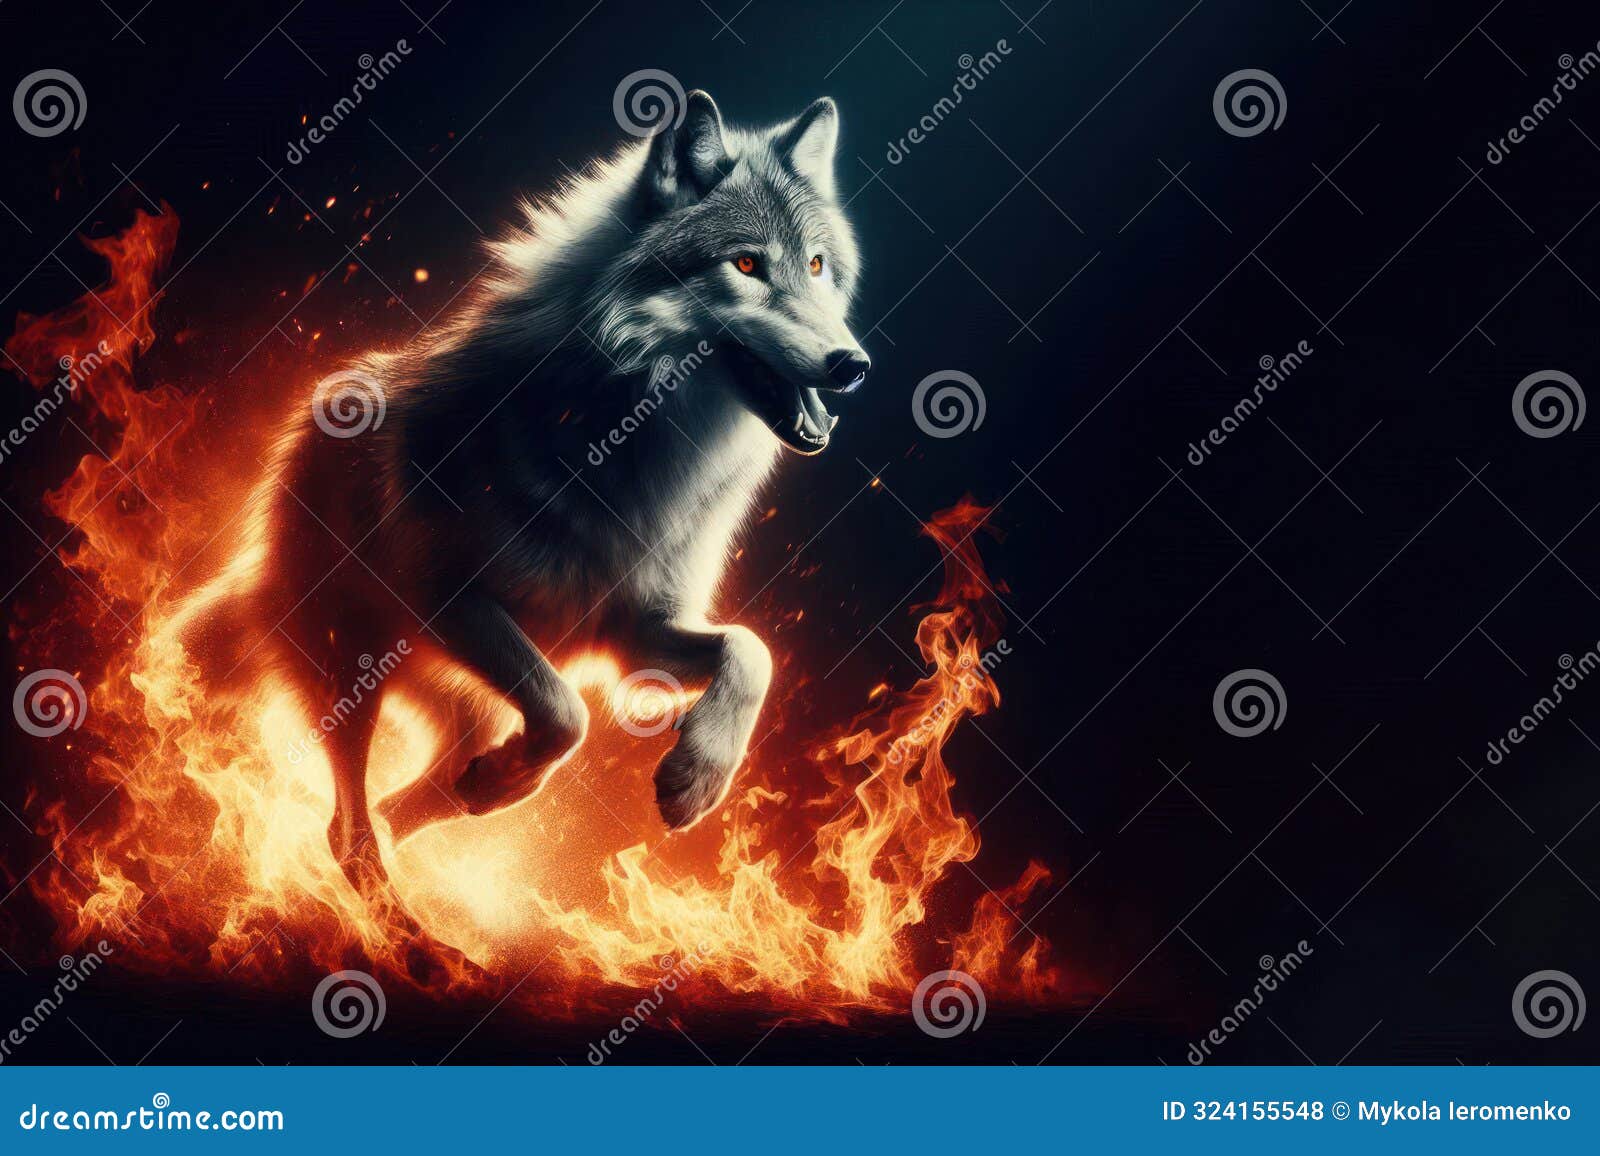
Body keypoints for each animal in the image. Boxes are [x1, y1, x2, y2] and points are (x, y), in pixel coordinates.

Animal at [173, 91, 870, 895]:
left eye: (817, 265)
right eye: (748, 263)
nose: (853, 363)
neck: (636, 454)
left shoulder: (634, 633)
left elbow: (752, 652)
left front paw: (697, 778)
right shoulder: (453, 598)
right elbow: (566, 713)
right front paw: (511, 781)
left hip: (448, 692)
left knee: (395, 802)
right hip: (353, 660)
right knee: (347, 822)